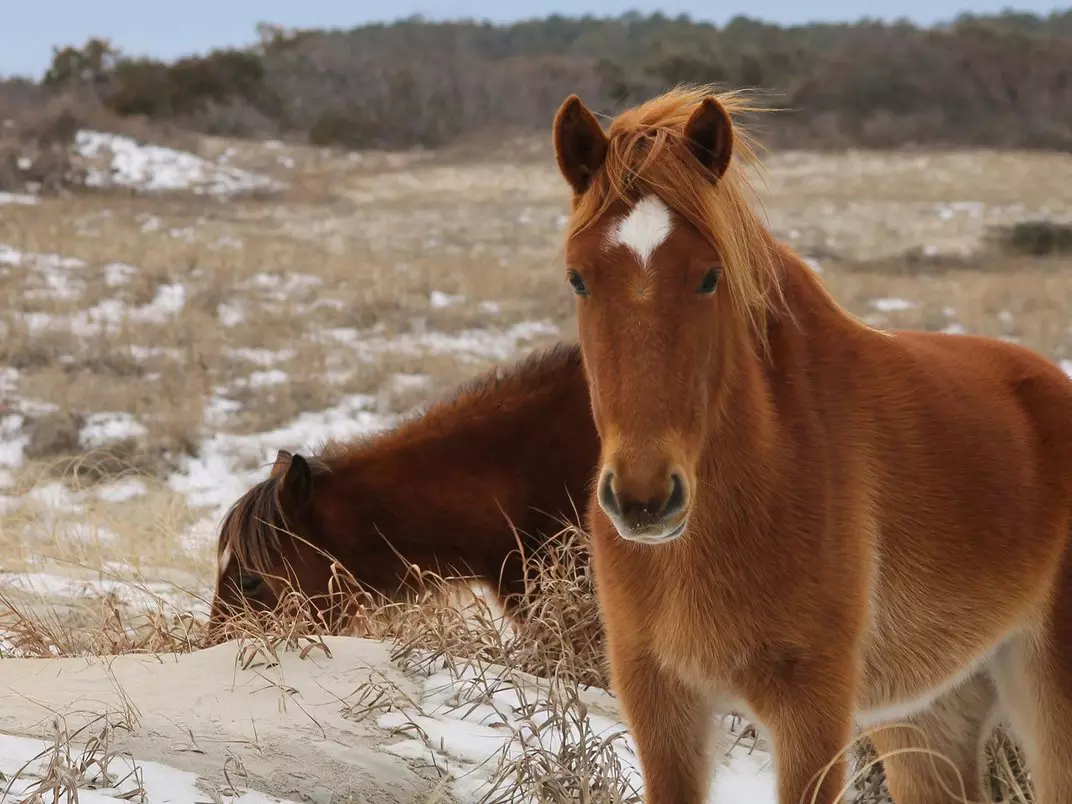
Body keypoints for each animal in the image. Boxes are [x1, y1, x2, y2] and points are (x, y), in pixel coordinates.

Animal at [553, 85, 1072, 801]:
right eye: (578, 278)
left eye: (709, 276)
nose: (644, 498)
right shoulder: (660, 704)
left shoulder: (813, 713)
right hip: (930, 715)